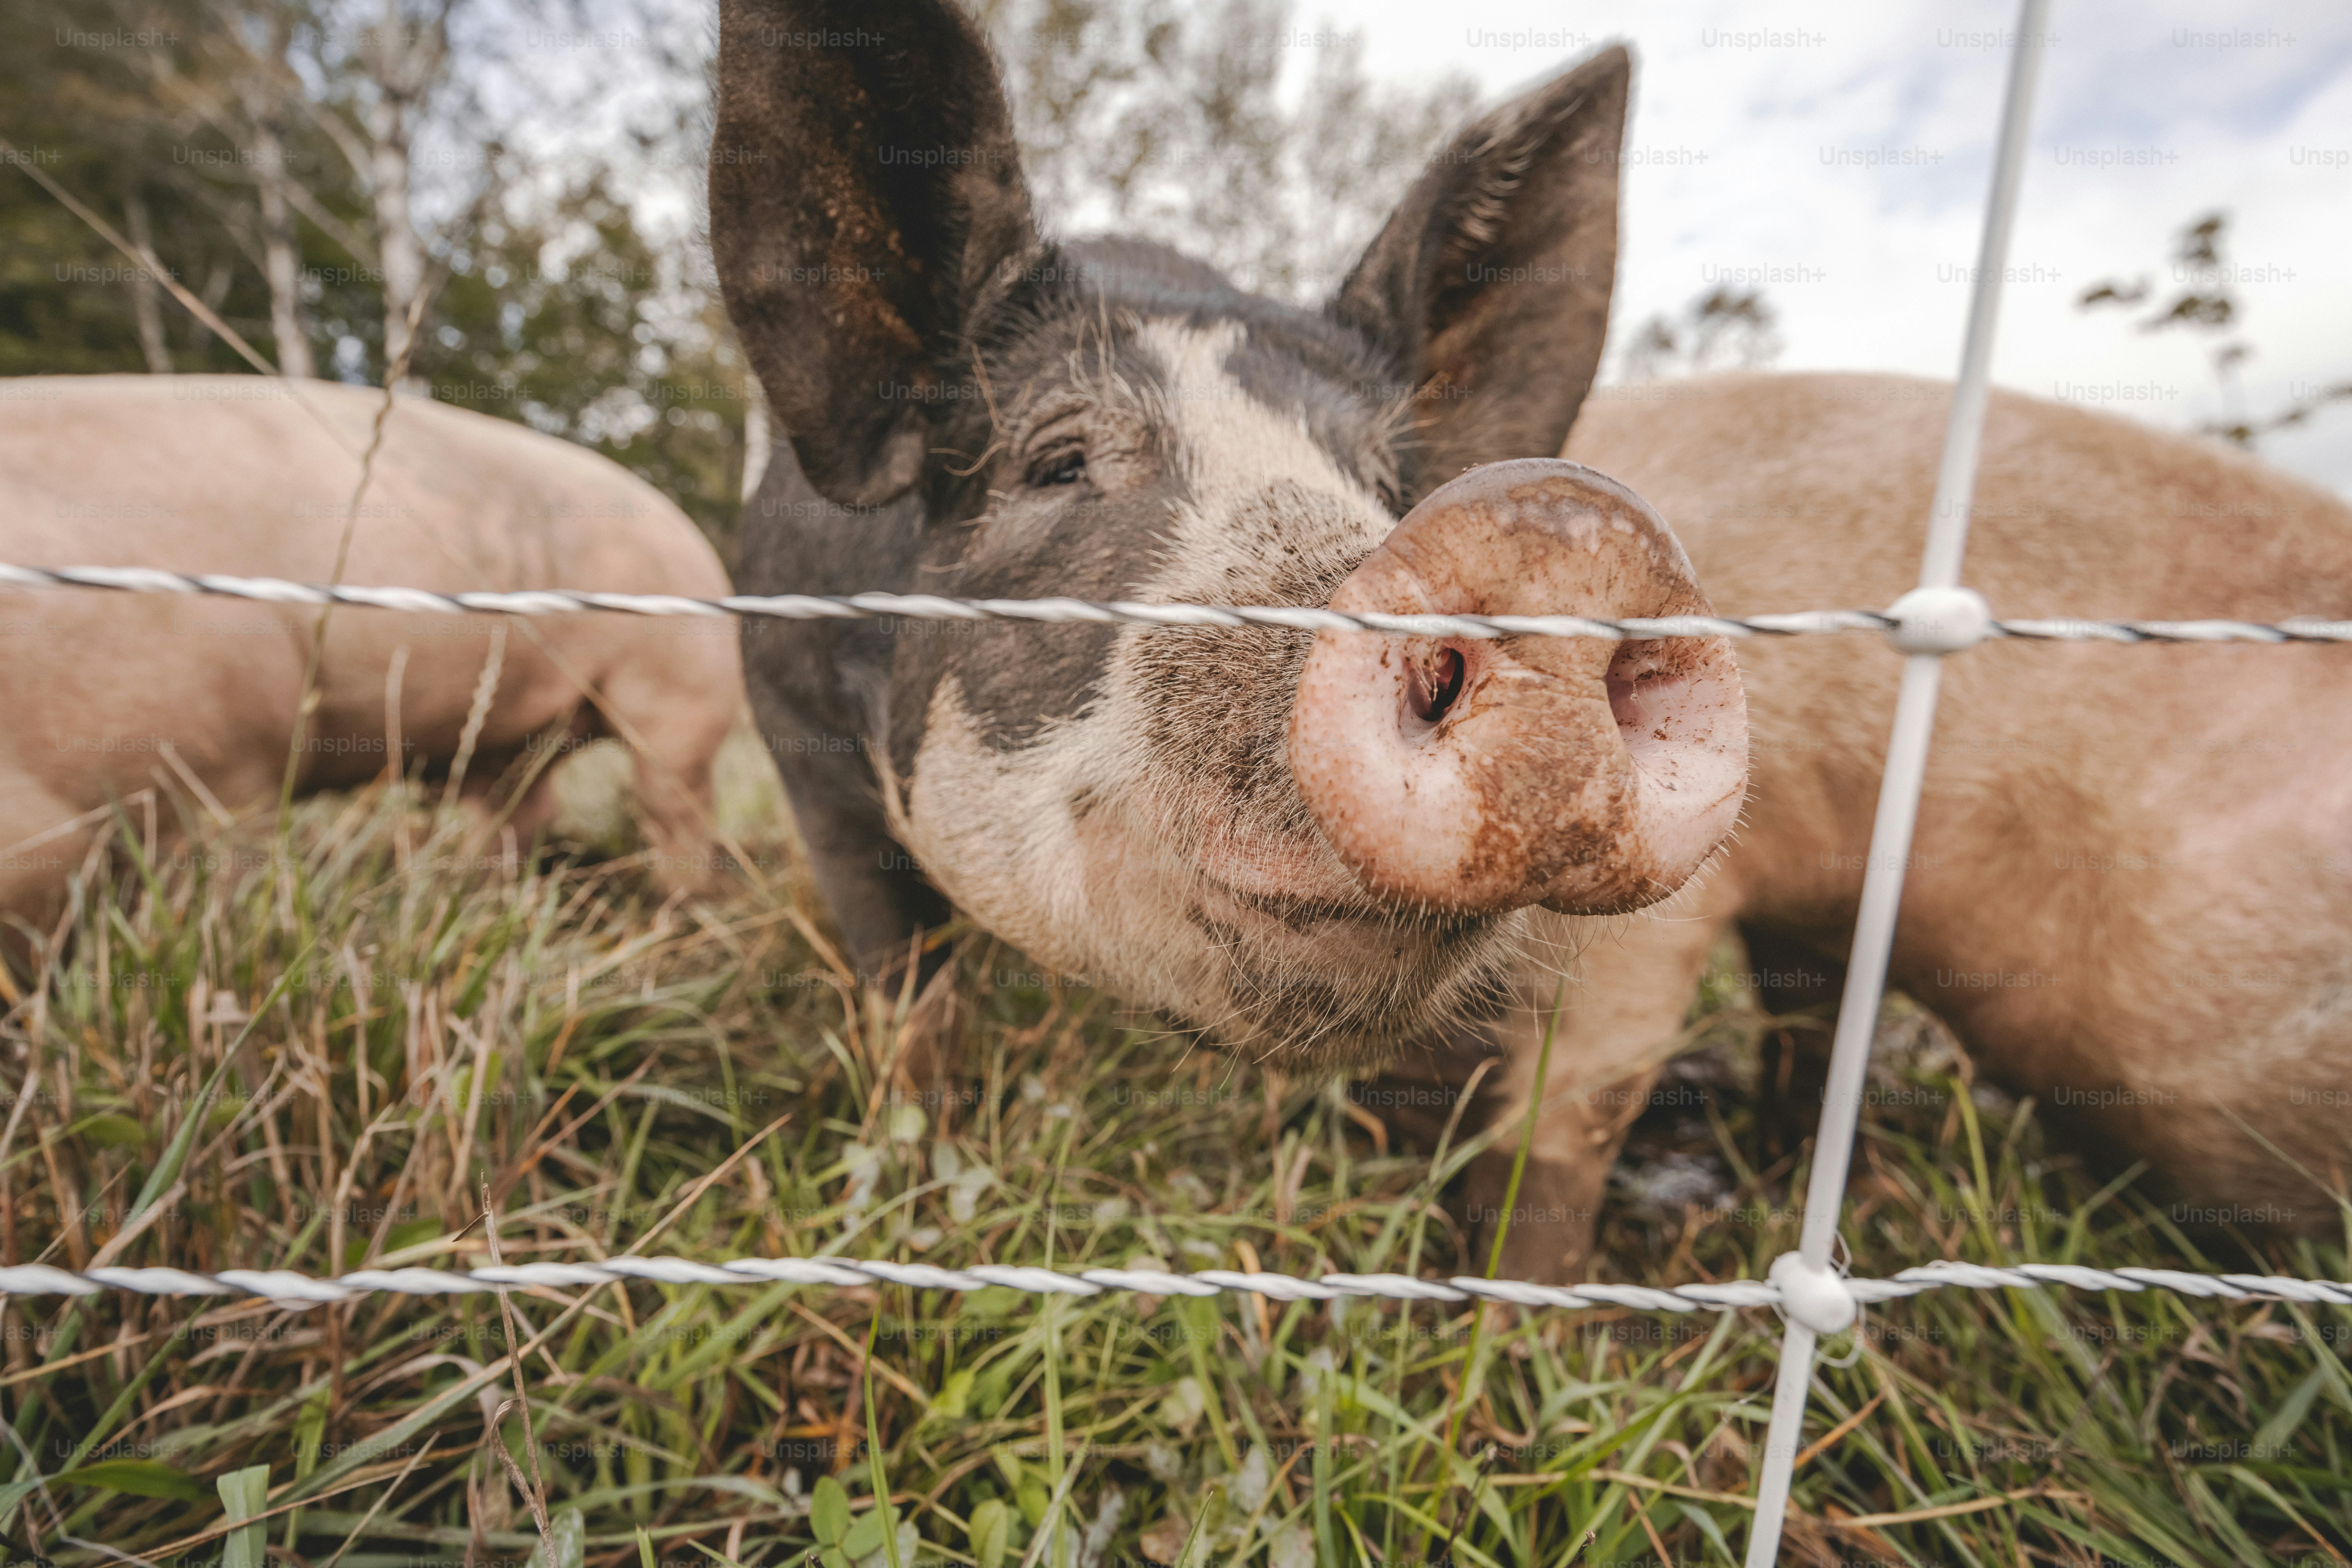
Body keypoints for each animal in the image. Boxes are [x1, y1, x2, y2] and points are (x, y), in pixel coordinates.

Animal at [0, 375, 744, 919]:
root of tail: (686, 525)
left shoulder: (228, 764)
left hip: (682, 684)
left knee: (672, 801)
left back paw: (682, 913)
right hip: (511, 736)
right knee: (515, 809)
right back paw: (473, 900)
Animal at [711, 0, 2352, 1282]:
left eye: (1389, 486)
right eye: (1055, 461)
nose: (1553, 544)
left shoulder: (1665, 907)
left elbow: (1556, 1138)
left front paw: (1512, 1332)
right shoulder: (791, 730)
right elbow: (905, 992)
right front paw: (914, 1184)